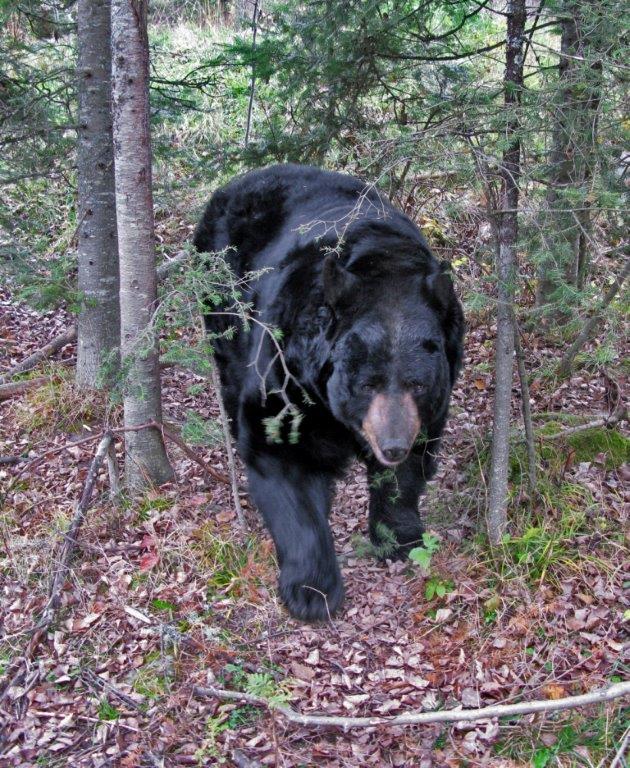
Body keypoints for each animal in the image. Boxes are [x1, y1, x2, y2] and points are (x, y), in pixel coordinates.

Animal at [193, 164, 464, 622]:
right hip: (222, 297)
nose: (392, 446)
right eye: (367, 383)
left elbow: (412, 467)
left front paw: (399, 535)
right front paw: (312, 589)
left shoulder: (433, 396)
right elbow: (281, 457)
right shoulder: (289, 371)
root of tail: (239, 180)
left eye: (418, 383)